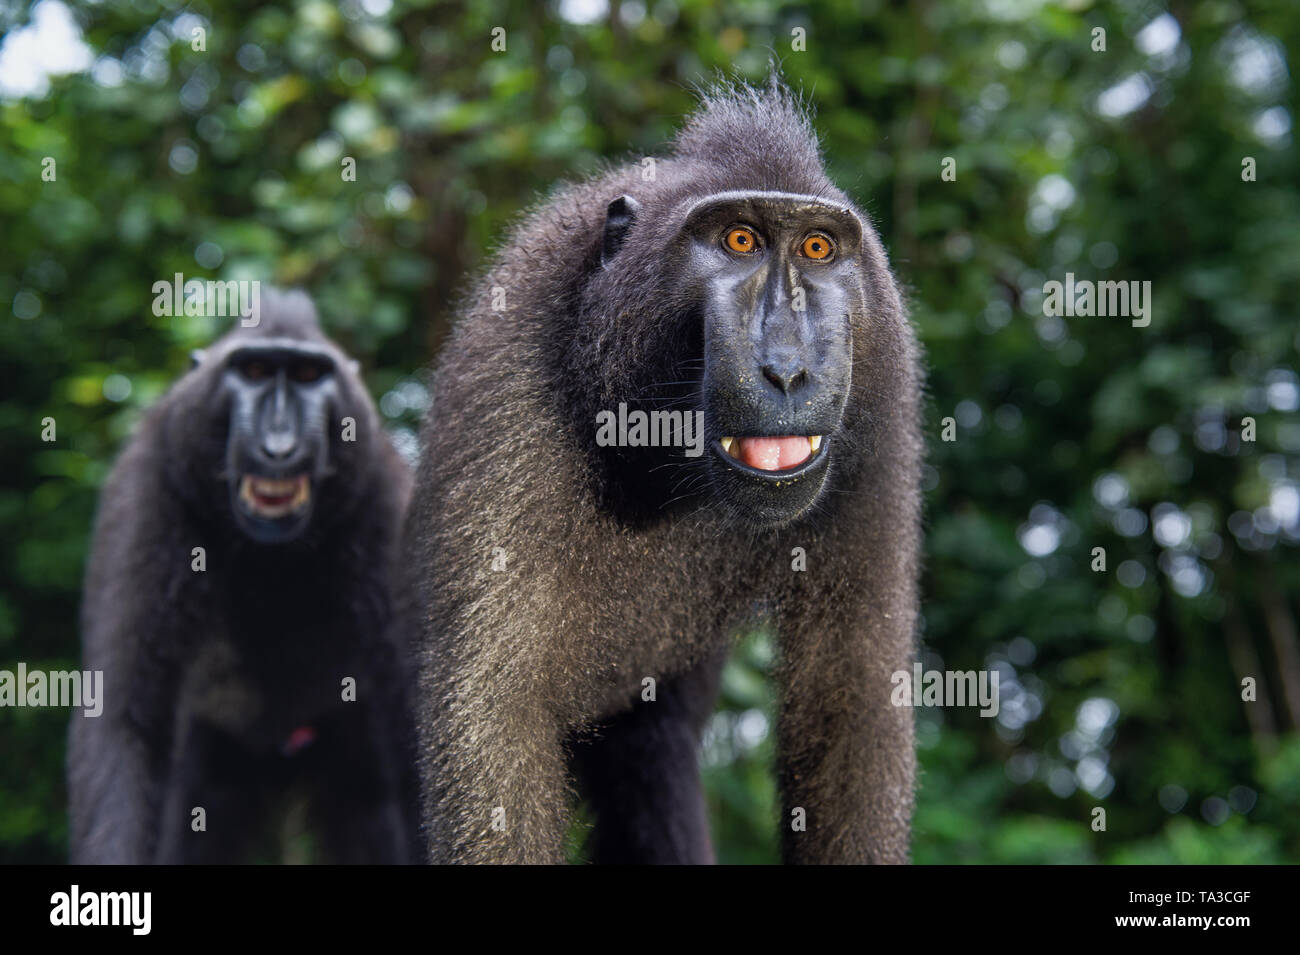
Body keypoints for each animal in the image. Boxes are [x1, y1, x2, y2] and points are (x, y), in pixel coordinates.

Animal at [67, 289, 419, 864]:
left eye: (307, 374)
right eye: (253, 370)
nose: (279, 444)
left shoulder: (386, 504)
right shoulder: (147, 489)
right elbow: (124, 719)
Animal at [405, 79, 923, 864]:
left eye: (818, 248)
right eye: (738, 240)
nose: (787, 368)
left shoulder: (880, 418)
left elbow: (850, 698)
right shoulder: (509, 397)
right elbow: (498, 728)